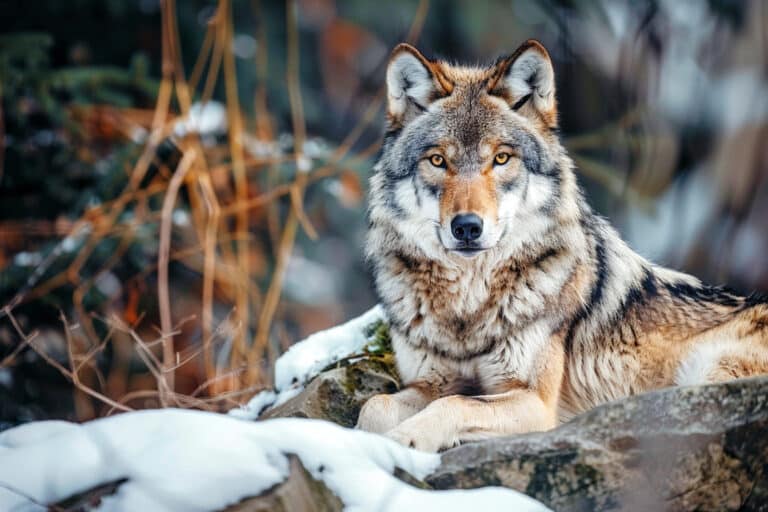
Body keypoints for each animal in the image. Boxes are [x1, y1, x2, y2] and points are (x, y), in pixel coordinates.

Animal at [356, 39, 768, 452]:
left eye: (501, 158)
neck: (468, 311)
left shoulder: (535, 404)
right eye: (438, 160)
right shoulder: (429, 382)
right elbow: (376, 406)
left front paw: (405, 440)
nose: (468, 227)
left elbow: (452, 404)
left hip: (709, 371)